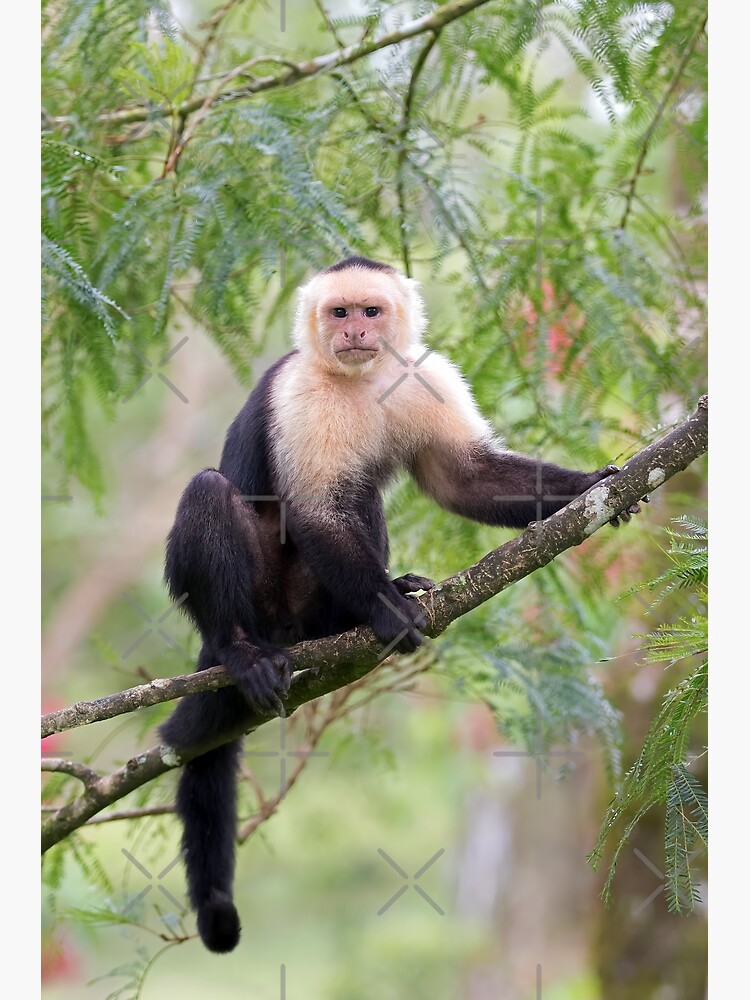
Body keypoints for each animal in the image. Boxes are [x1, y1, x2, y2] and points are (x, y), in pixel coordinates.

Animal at [159, 256, 642, 952]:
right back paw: (243, 649)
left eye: (371, 311)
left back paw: (354, 616)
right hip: (263, 606)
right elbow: (316, 510)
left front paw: (592, 485)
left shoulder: (423, 375)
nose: (354, 333)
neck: (360, 379)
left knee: (361, 498)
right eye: (338, 313)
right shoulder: (301, 393)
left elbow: (461, 477)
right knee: (213, 493)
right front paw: (388, 614)